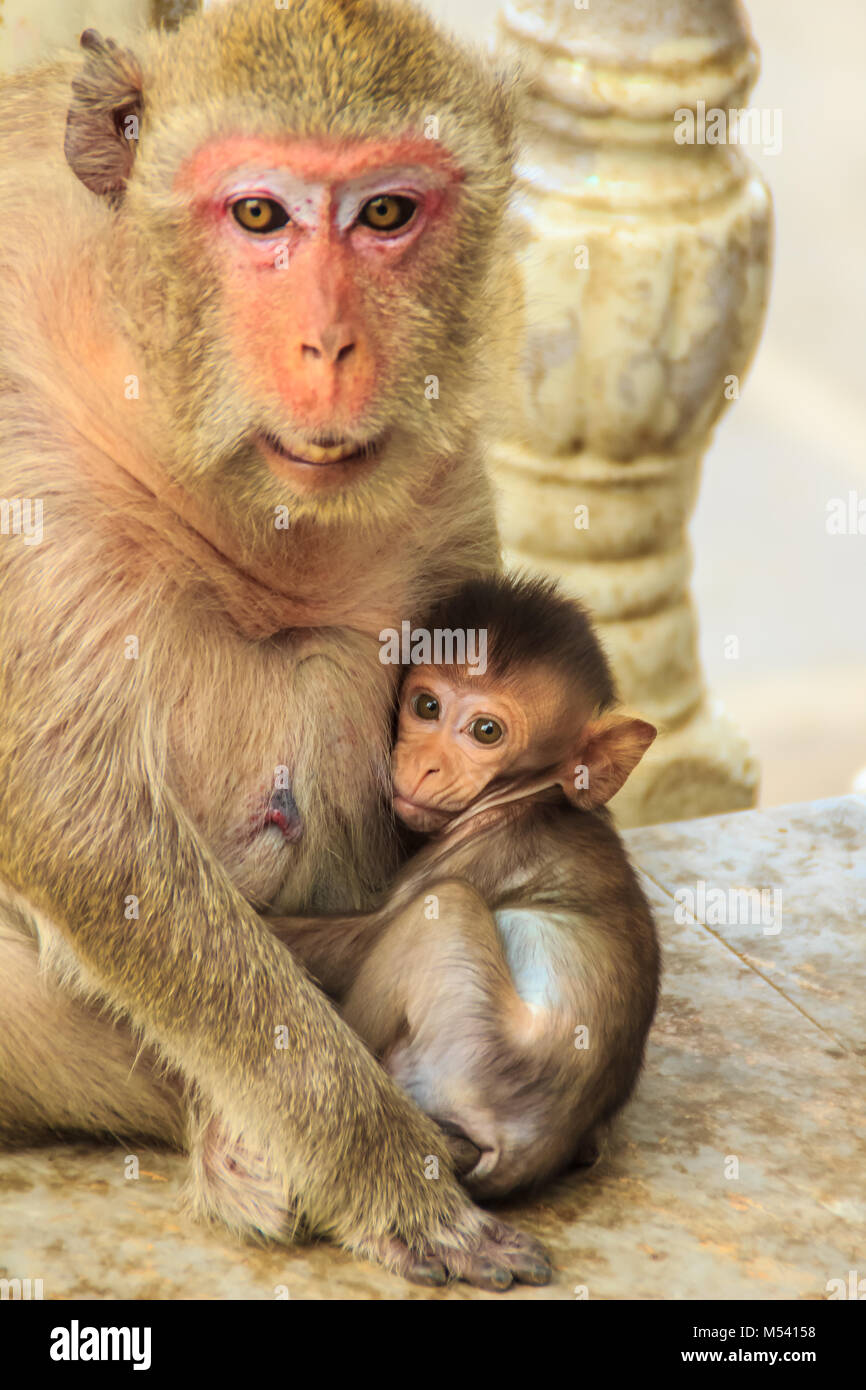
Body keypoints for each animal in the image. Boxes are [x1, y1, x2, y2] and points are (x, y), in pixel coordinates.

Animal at [0, 0, 554, 1290]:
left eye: (386, 214)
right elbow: (83, 831)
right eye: (259, 215)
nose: (330, 347)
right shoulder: (25, 455)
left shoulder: (438, 486)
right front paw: (382, 1164)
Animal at [270, 574, 661, 1198]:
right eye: (427, 706)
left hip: (472, 1042)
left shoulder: (483, 850)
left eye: (486, 731)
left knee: (444, 908)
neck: (528, 797)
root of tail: (532, 1148)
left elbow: (366, 939)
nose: (426, 763)